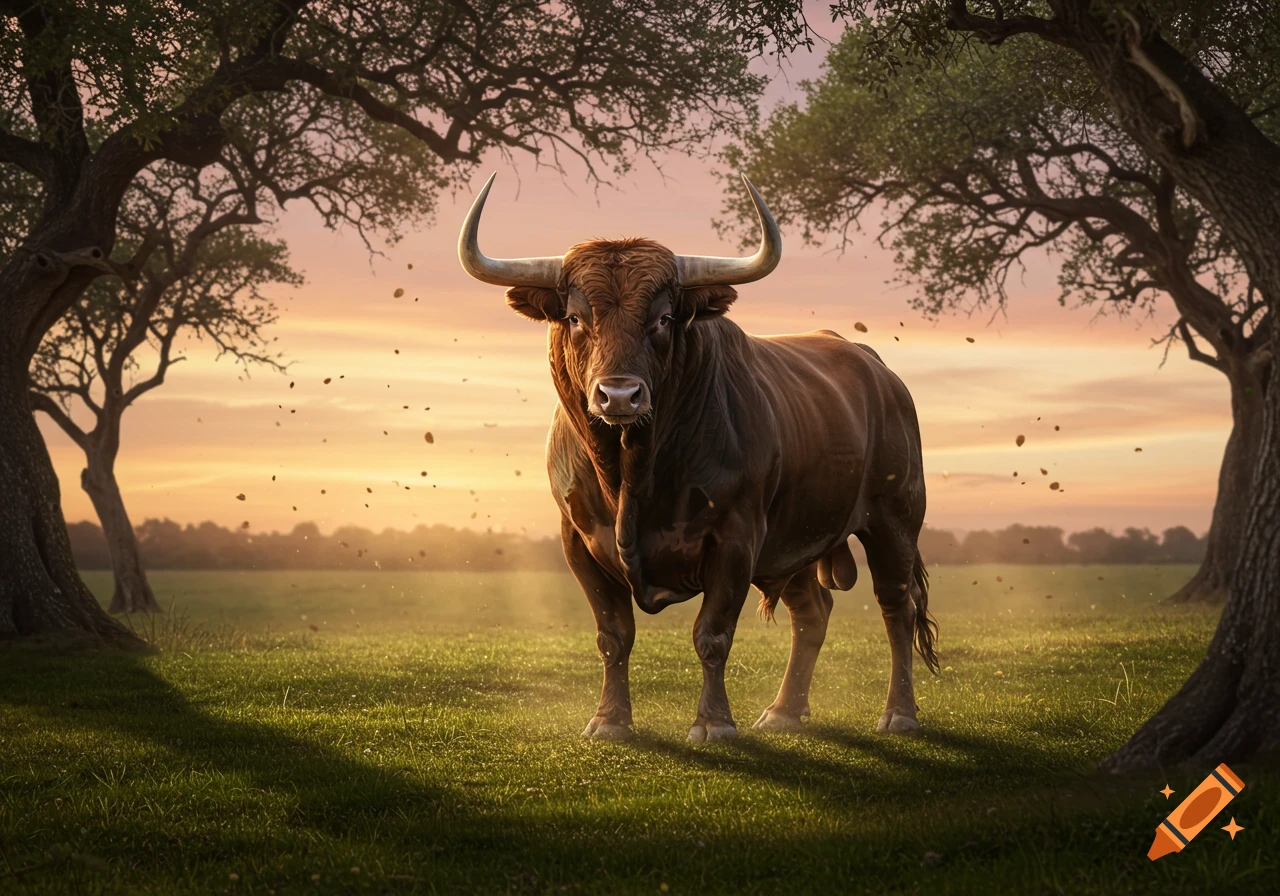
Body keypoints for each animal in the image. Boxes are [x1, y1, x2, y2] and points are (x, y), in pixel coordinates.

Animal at [458, 174, 938, 742]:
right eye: (575, 317)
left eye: (664, 318)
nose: (619, 396)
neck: (633, 475)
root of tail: (878, 370)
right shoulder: (577, 541)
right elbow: (613, 636)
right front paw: (610, 720)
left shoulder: (735, 537)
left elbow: (712, 634)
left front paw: (713, 723)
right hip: (794, 537)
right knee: (812, 611)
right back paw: (783, 711)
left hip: (894, 520)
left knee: (896, 606)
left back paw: (900, 713)